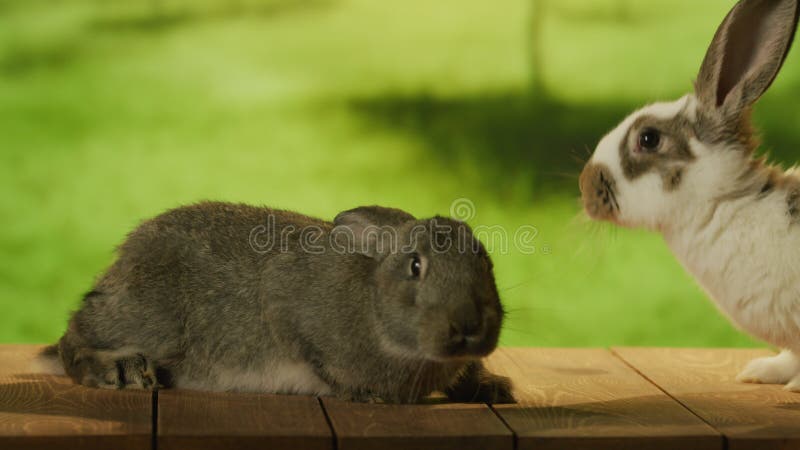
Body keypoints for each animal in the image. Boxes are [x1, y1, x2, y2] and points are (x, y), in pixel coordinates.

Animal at [42, 201, 514, 404]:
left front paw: (494, 387)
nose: (469, 327)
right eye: (415, 266)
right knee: (72, 339)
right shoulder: (286, 309)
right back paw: (122, 372)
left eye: (485, 260)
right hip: (148, 318)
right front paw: (366, 396)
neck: (371, 304)